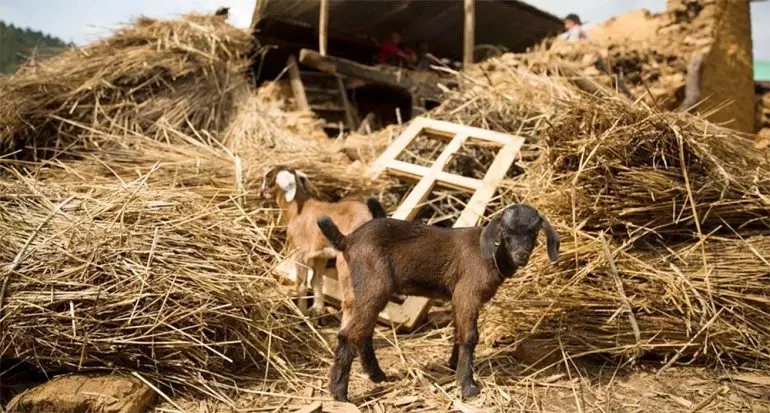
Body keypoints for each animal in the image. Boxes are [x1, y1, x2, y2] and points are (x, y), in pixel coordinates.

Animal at [260, 165, 388, 318]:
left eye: (268, 176)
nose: (261, 193)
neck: (297, 210)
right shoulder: (320, 255)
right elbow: (316, 281)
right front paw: (317, 308)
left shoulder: (301, 252)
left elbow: (301, 284)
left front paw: (302, 313)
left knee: (351, 301)